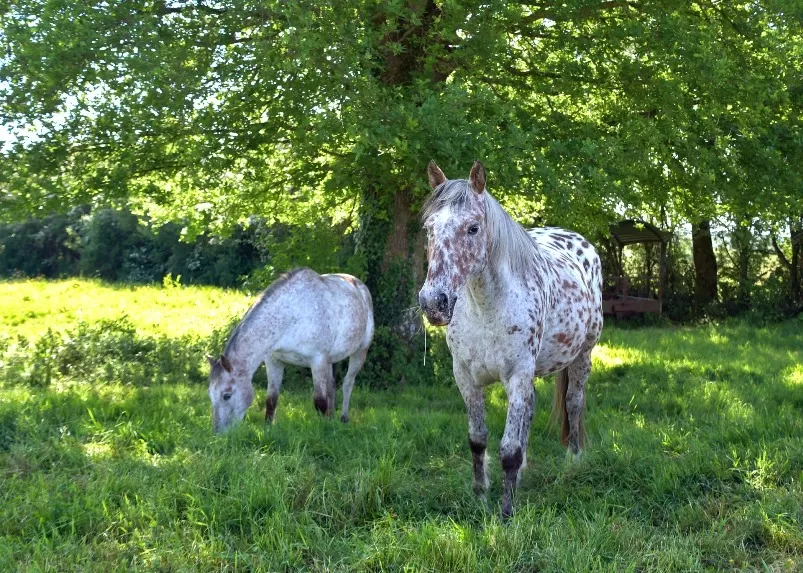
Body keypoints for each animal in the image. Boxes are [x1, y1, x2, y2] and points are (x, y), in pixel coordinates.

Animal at [206, 268, 372, 434]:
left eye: (226, 395)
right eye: (210, 394)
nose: (218, 433)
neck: (291, 317)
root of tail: (359, 285)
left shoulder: (317, 361)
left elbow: (319, 401)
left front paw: (322, 429)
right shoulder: (274, 361)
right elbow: (271, 399)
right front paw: (268, 429)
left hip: (360, 352)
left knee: (348, 383)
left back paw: (344, 418)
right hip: (330, 360)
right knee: (331, 387)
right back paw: (331, 419)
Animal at [420, 161, 604, 520]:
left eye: (473, 228)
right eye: (429, 228)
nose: (434, 302)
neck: (486, 308)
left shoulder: (517, 376)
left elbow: (509, 448)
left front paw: (506, 512)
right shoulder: (465, 377)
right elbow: (478, 439)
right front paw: (480, 495)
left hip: (583, 355)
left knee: (574, 404)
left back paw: (573, 461)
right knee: (531, 412)